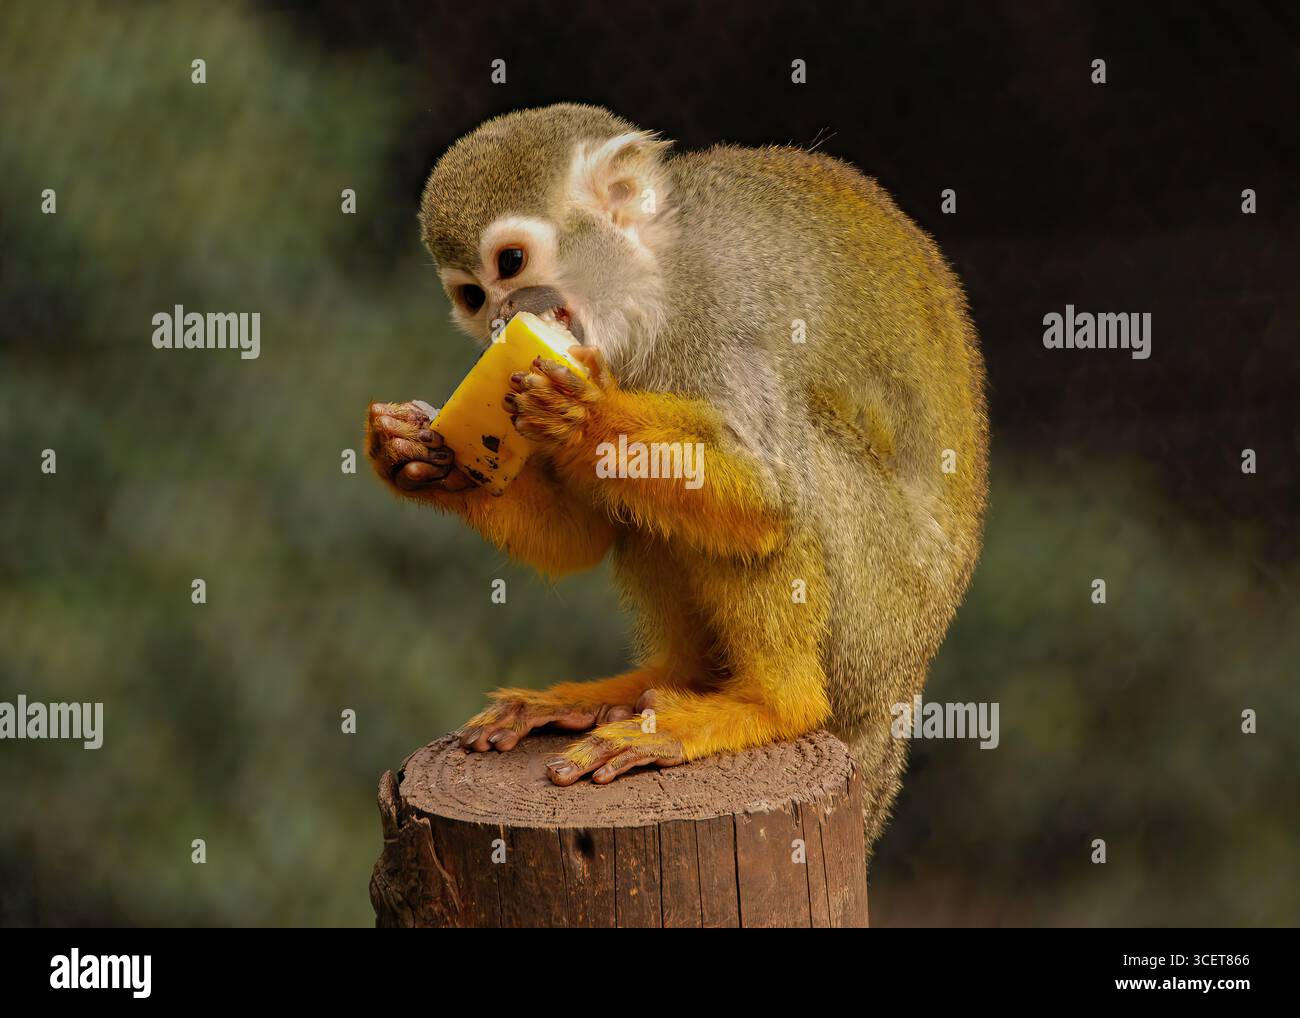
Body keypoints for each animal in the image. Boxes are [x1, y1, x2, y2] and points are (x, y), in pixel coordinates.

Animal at [367, 103, 987, 850]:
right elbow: (585, 537)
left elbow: (769, 503)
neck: (651, 286)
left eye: (510, 263)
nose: (496, 319)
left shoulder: (723, 315)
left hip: (875, 622)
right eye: (471, 294)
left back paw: (772, 705)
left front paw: (587, 417)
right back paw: (650, 686)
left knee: (788, 500)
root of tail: (901, 690)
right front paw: (420, 458)